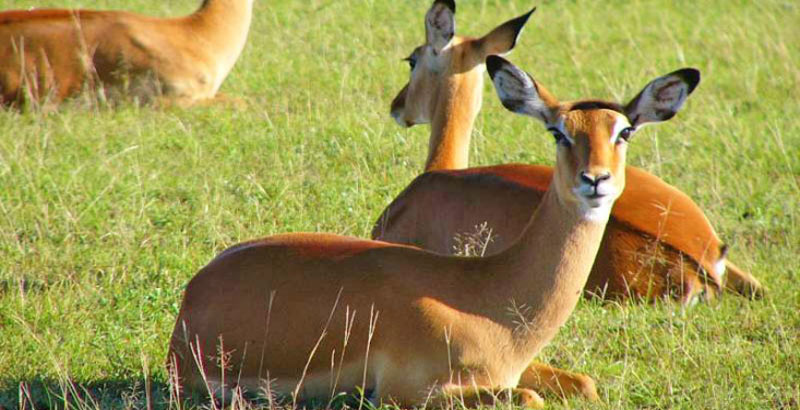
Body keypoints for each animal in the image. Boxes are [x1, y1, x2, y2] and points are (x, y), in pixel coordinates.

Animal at [168, 54, 699, 408]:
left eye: (624, 131)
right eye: (558, 131)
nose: (595, 180)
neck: (487, 298)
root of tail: (193, 295)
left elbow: (584, 383)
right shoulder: (407, 391)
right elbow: (531, 398)